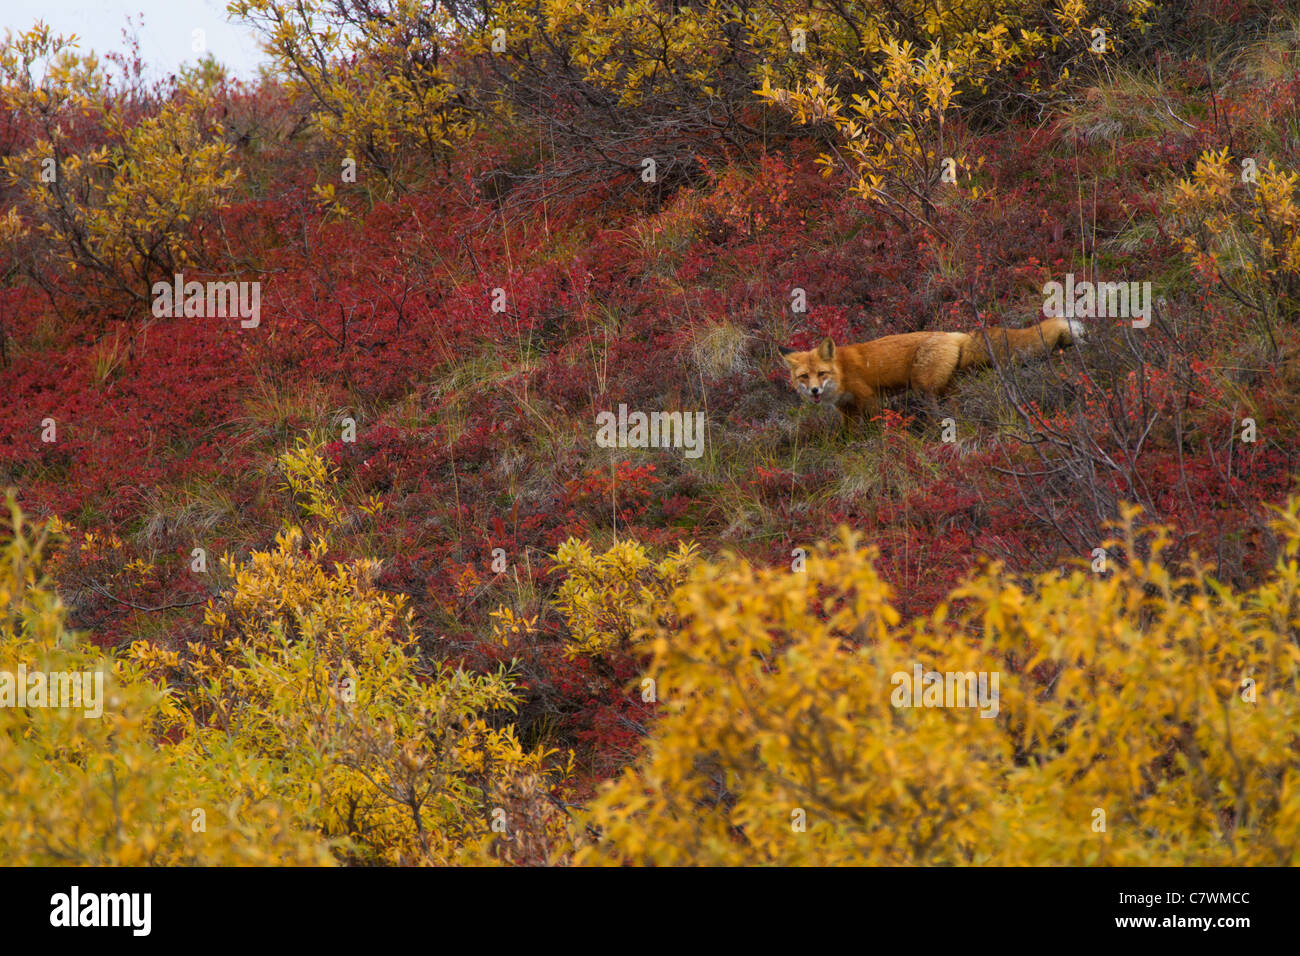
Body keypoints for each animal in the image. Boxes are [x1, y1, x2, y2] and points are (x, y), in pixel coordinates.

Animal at [779, 317, 1084, 421]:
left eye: (822, 374)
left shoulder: (868, 398)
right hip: (945, 385)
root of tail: (955, 334)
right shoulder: (847, 410)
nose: (814, 390)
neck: (841, 372)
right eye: (804, 377)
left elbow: (875, 427)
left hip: (923, 387)